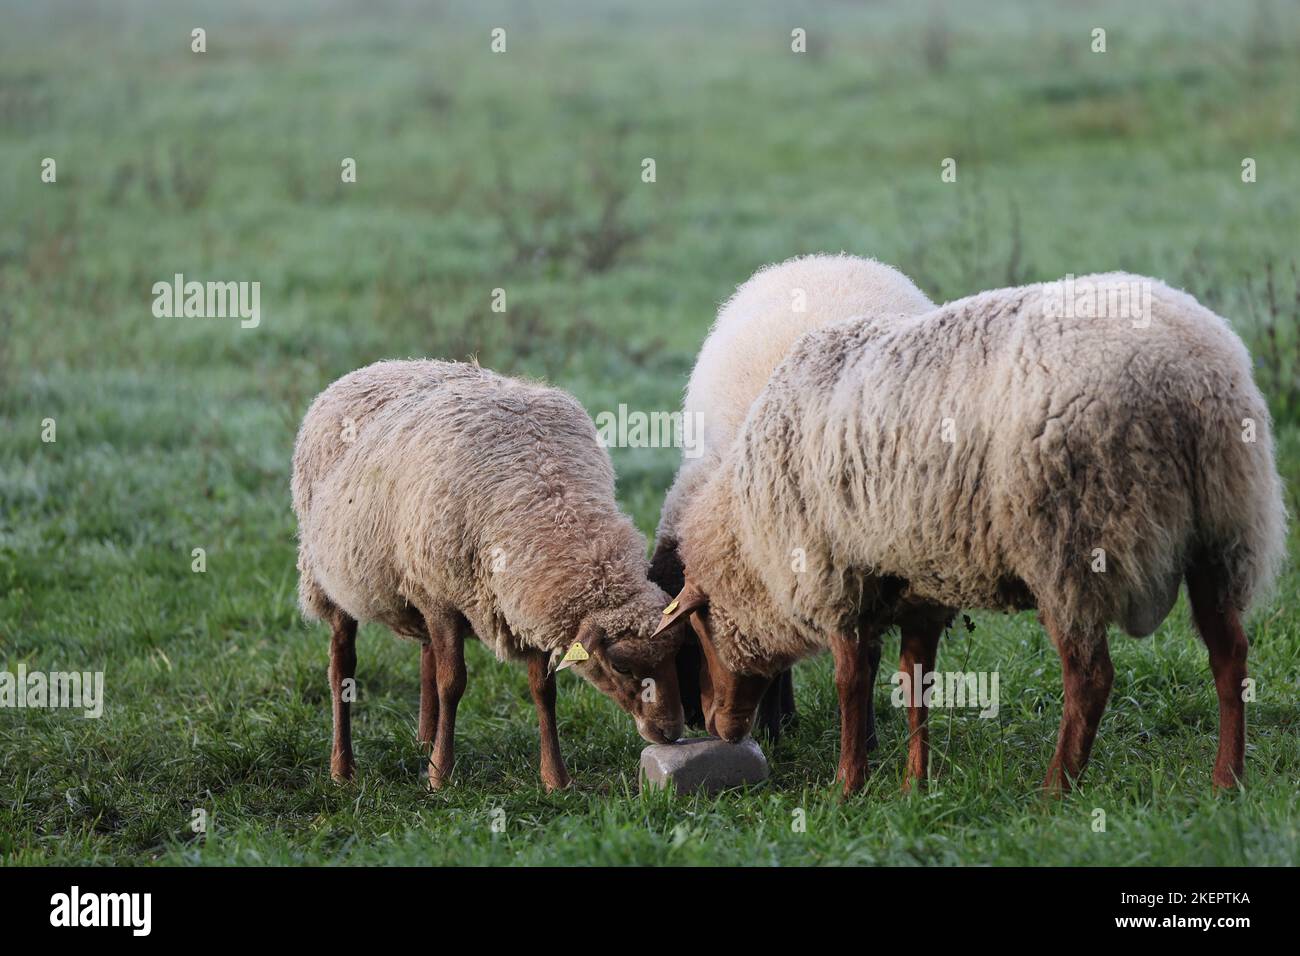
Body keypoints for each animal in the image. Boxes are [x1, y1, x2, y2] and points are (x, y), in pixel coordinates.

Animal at [292, 359, 685, 791]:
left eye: (677, 656)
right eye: (622, 667)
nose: (671, 732)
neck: (550, 496)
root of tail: (372, 367)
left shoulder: (525, 599)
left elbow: (543, 690)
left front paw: (555, 778)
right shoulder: (442, 599)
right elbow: (452, 684)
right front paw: (441, 775)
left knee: (426, 654)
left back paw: (425, 740)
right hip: (330, 578)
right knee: (341, 668)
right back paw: (343, 768)